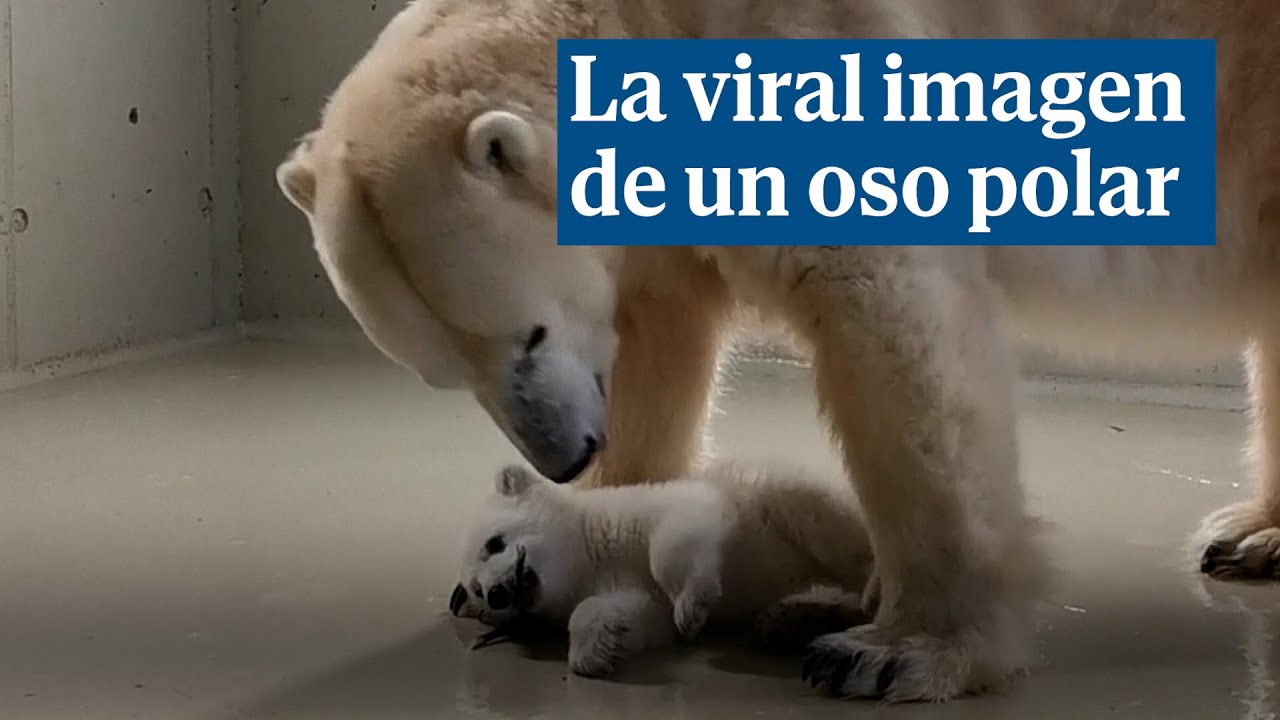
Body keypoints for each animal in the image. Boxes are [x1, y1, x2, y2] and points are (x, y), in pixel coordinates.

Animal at [448, 461, 877, 679]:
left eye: (494, 543)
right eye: (477, 591)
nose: (498, 592)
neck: (593, 548)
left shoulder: (660, 506)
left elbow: (677, 534)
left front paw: (692, 608)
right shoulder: (614, 582)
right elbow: (636, 611)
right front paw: (596, 651)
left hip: (785, 498)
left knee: (823, 515)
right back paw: (791, 621)